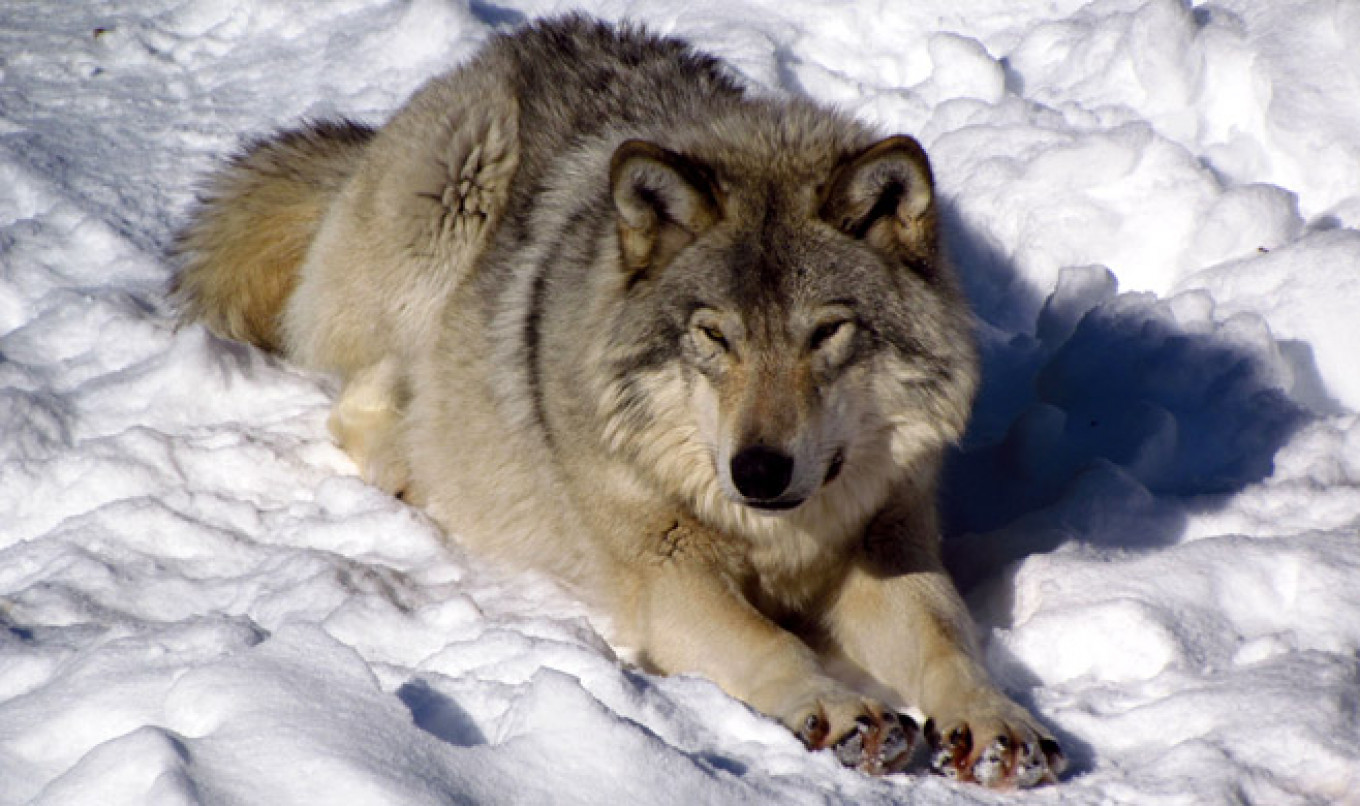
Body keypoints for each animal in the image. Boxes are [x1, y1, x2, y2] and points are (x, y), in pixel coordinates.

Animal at [174, 14, 1064, 787]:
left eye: (826, 333)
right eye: (715, 336)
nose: (759, 471)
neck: (777, 537)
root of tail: (511, 44)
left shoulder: (890, 541)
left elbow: (948, 641)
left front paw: (997, 723)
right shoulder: (666, 575)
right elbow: (769, 642)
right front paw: (839, 706)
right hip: (451, 210)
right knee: (361, 408)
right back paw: (429, 474)